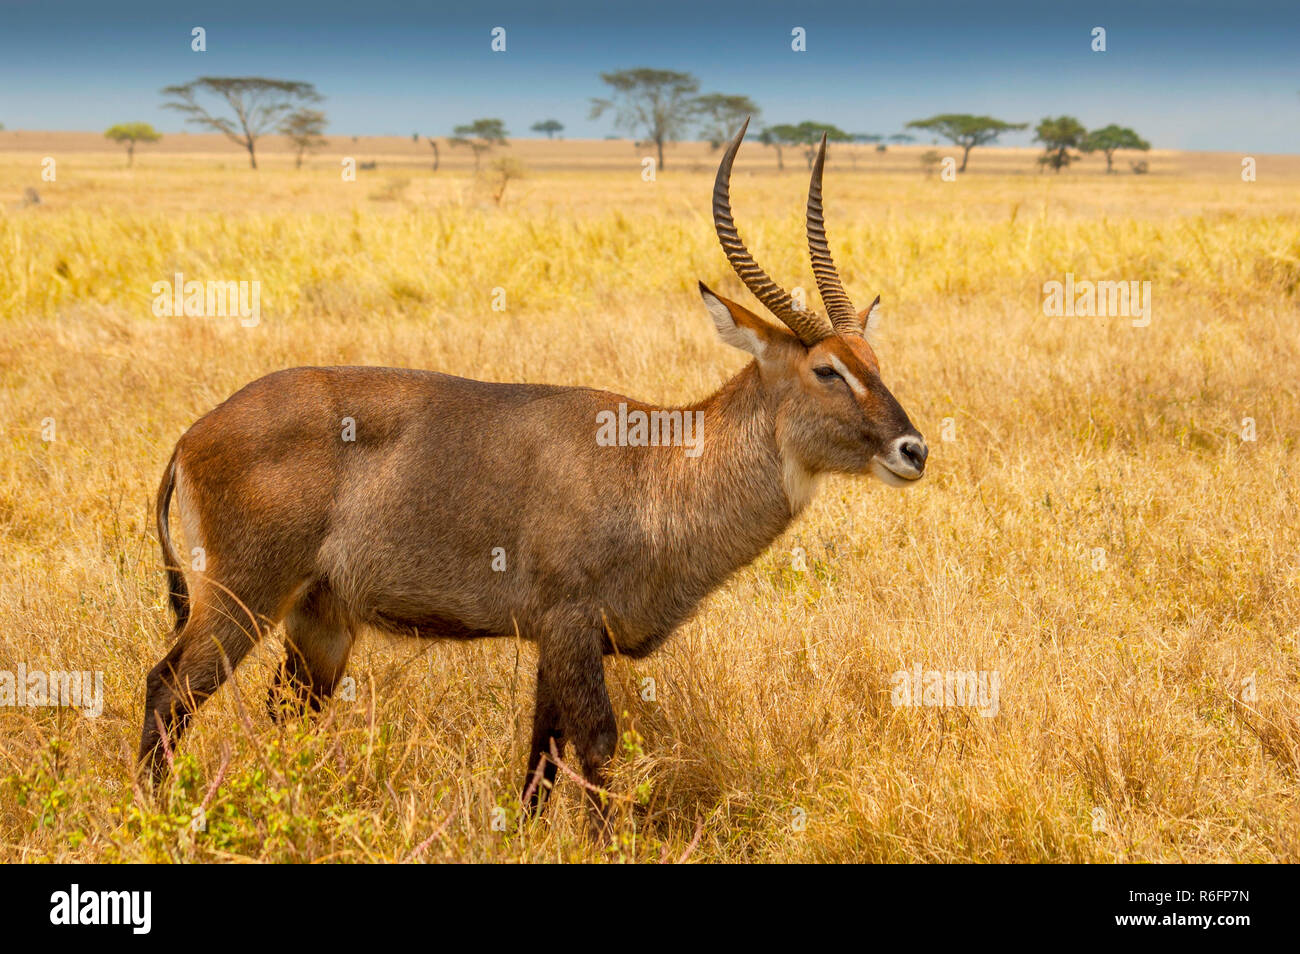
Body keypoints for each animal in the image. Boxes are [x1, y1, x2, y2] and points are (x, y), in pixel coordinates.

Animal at [138, 120, 928, 818]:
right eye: (827, 370)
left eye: (875, 361)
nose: (913, 450)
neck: (656, 464)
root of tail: (193, 434)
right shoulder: (572, 625)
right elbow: (598, 747)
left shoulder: (554, 640)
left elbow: (540, 758)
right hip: (241, 597)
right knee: (168, 687)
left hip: (320, 620)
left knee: (284, 715)